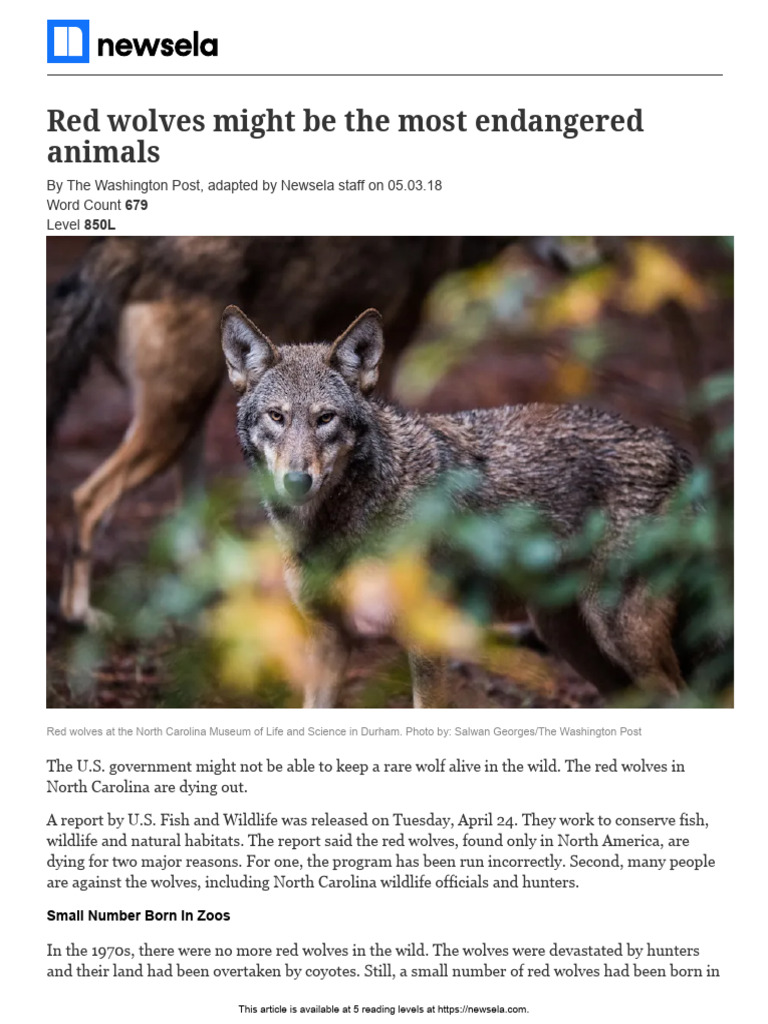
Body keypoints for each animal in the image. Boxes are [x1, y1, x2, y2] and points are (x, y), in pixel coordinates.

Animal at [48, 236, 511, 627]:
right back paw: (80, 613)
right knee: (87, 498)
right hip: (175, 420)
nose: (297, 482)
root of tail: (124, 245)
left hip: (187, 418)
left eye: (326, 419)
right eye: (276, 416)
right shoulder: (395, 343)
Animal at [221, 305, 698, 708]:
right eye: (277, 417)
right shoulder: (328, 638)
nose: (297, 482)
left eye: (325, 419)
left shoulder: (426, 639)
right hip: (569, 638)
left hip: (622, 636)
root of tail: (673, 448)